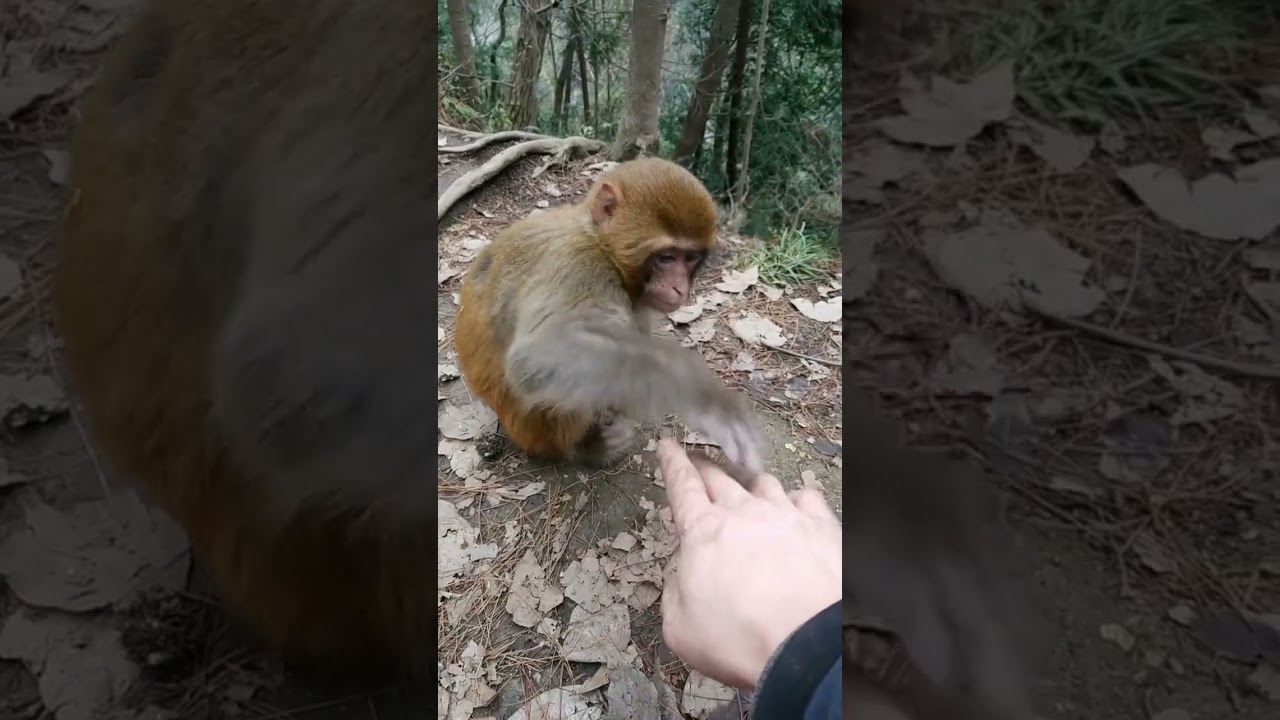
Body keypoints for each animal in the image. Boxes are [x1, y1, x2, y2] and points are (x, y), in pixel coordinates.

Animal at [453, 157, 765, 475]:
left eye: (690, 258)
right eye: (666, 257)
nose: (679, 287)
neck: (602, 246)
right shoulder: (580, 268)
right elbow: (536, 356)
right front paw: (696, 393)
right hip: (532, 428)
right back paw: (586, 447)